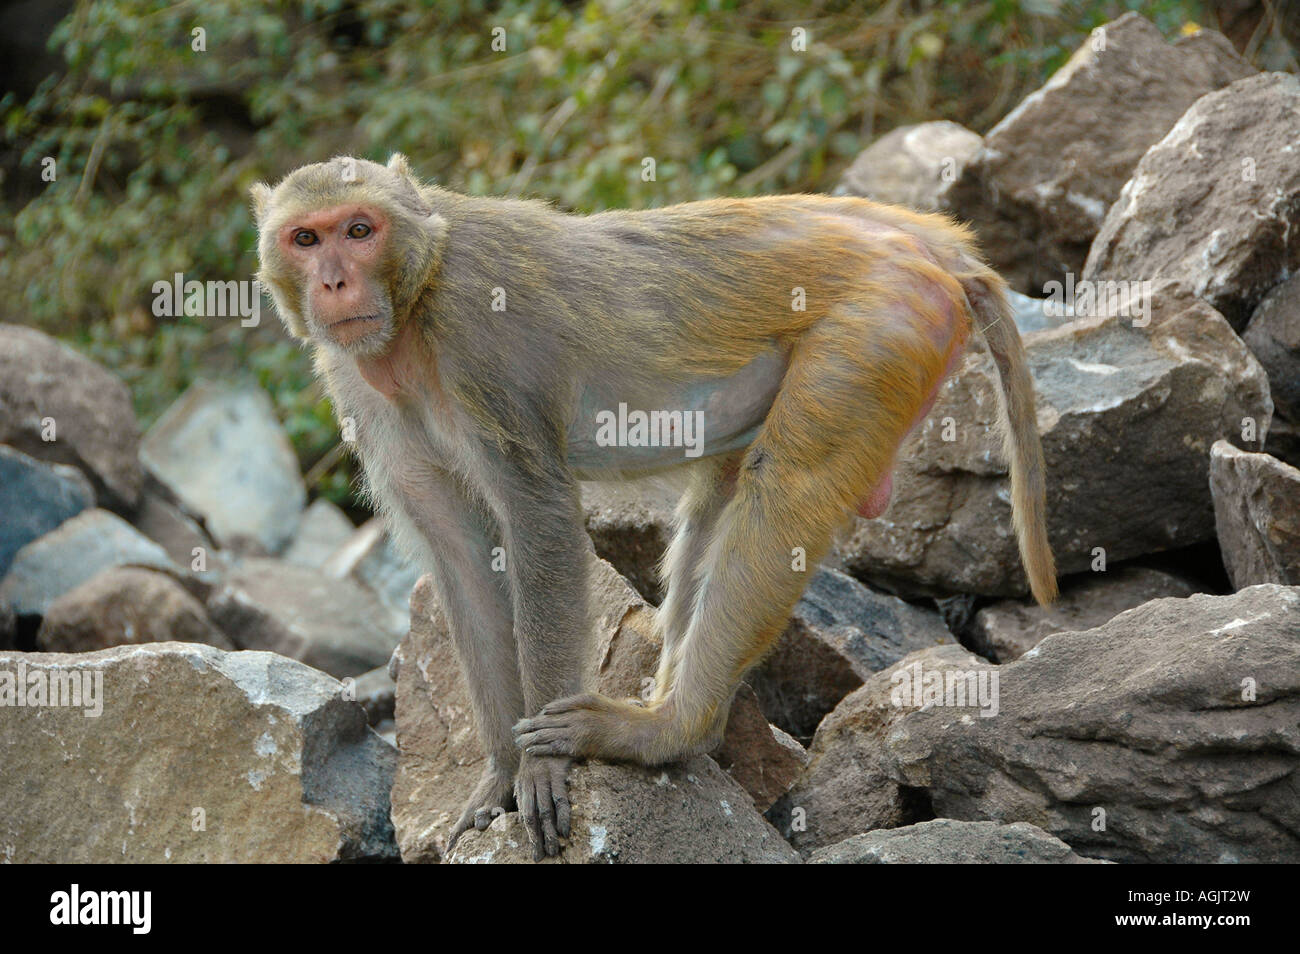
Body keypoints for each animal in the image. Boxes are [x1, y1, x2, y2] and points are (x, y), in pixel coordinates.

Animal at [251, 154, 1056, 860]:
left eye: (360, 230)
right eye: (306, 238)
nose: (334, 281)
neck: (413, 309)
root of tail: (929, 243)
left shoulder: (478, 338)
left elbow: (539, 525)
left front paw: (540, 770)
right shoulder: (360, 386)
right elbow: (461, 555)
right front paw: (501, 773)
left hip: (875, 330)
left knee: (786, 488)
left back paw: (668, 730)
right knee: (719, 503)